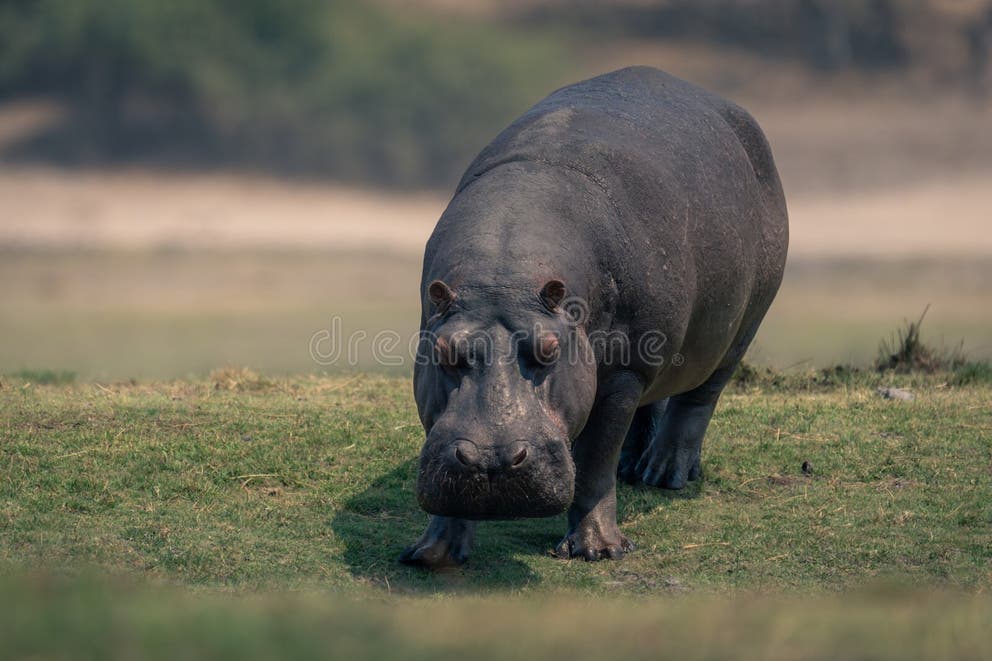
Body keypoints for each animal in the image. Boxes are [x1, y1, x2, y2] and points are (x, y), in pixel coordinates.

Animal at [399, 66, 788, 567]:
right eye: (446, 352)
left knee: (698, 399)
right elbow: (444, 443)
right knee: (654, 403)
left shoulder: (623, 373)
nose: (492, 461)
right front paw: (434, 553)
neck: (507, 275)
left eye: (549, 351)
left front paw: (599, 551)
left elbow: (595, 460)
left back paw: (665, 473)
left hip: (737, 331)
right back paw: (635, 466)